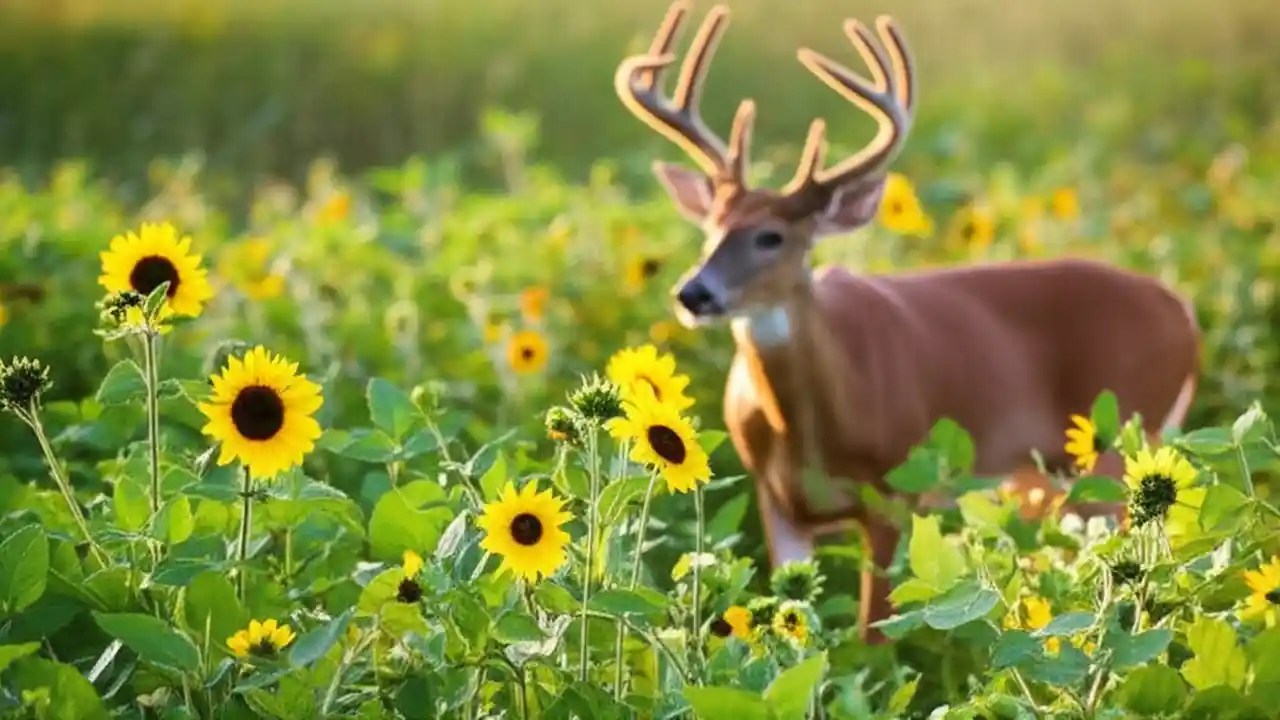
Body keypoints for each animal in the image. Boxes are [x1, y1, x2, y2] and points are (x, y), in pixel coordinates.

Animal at [613, 1, 1201, 644]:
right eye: (709, 230)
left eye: (771, 237)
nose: (693, 293)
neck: (810, 433)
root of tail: (1184, 312)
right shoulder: (774, 501)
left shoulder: (896, 491)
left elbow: (875, 634)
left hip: (1119, 443)